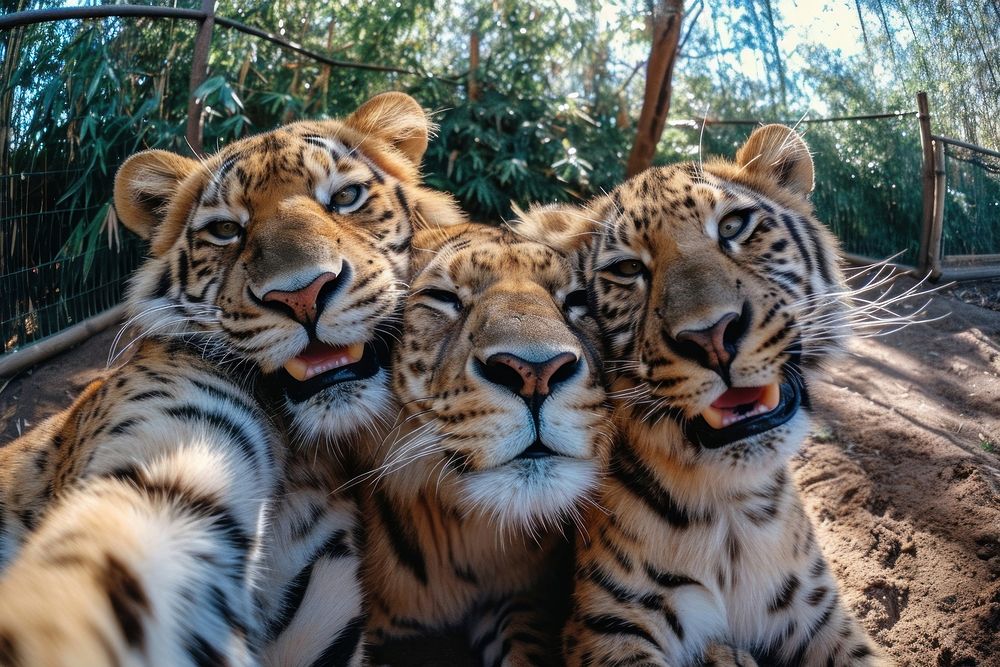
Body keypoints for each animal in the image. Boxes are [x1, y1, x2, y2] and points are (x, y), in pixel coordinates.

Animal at [515, 124, 888, 666]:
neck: (733, 509)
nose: (711, 336)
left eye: (733, 225)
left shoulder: (819, 611)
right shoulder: (608, 626)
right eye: (627, 269)